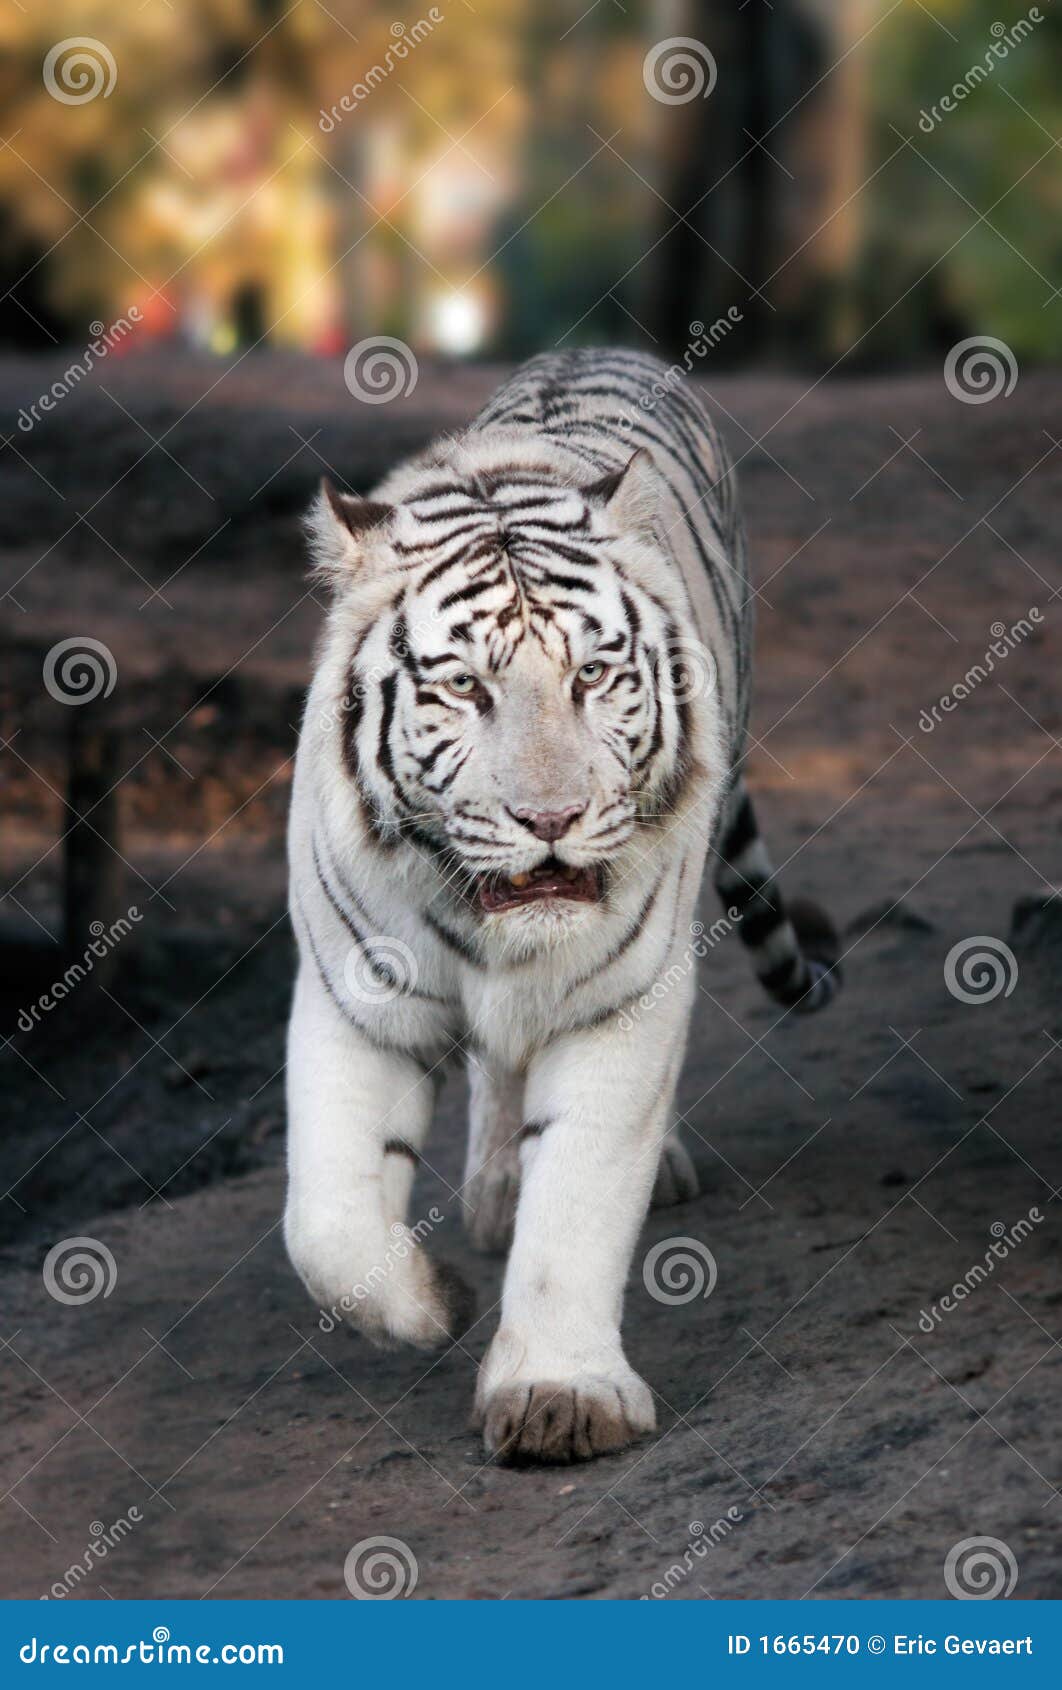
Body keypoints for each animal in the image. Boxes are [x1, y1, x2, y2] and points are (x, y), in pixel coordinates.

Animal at [284, 348, 840, 1465]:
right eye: (463, 687)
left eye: (593, 674)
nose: (551, 818)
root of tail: (595, 349)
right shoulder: (354, 999)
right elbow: (324, 1220)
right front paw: (433, 1305)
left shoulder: (618, 1004)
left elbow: (578, 1200)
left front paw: (560, 1395)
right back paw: (493, 1198)